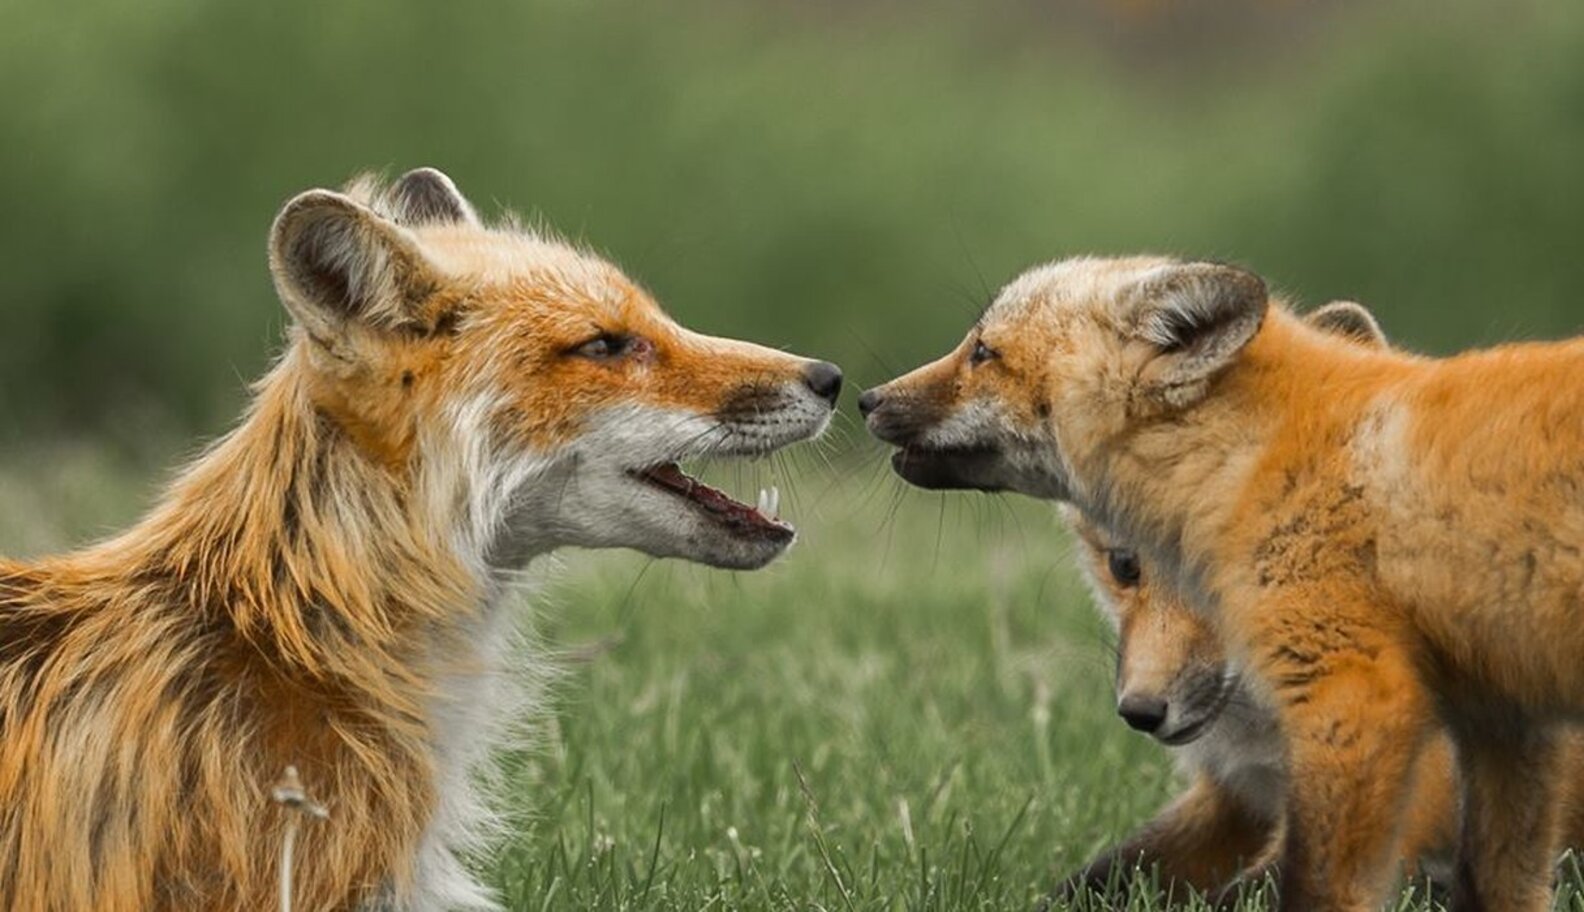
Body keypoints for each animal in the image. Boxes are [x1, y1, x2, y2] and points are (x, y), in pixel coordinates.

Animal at [859, 255, 1584, 911]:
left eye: (982, 351)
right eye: (1124, 566)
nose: (865, 397)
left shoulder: (1389, 747)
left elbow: (1264, 894)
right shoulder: (1235, 795)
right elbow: (1094, 879)